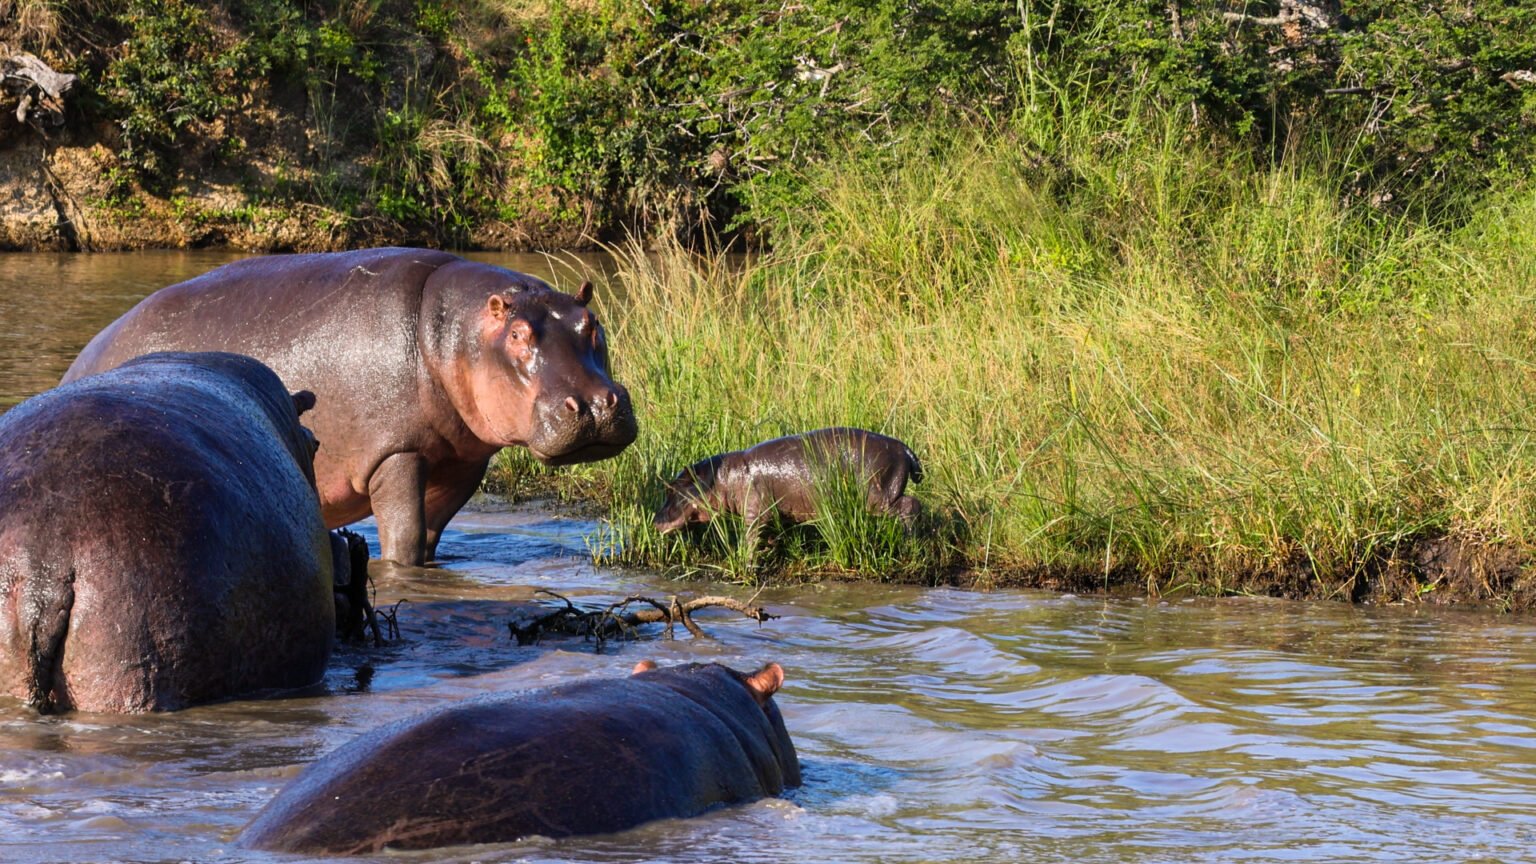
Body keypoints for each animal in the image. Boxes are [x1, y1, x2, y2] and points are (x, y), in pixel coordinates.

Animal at [63, 247, 637, 566]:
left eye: (593, 325)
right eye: (518, 335)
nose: (594, 404)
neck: (453, 332)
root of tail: (81, 360)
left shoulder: (462, 462)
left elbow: (430, 537)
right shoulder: (395, 454)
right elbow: (405, 539)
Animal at [653, 427, 922, 548]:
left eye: (671, 488)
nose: (654, 520)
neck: (719, 477)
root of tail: (903, 447)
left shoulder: (754, 511)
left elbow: (751, 537)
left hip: (877, 496)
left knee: (911, 505)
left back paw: (910, 539)